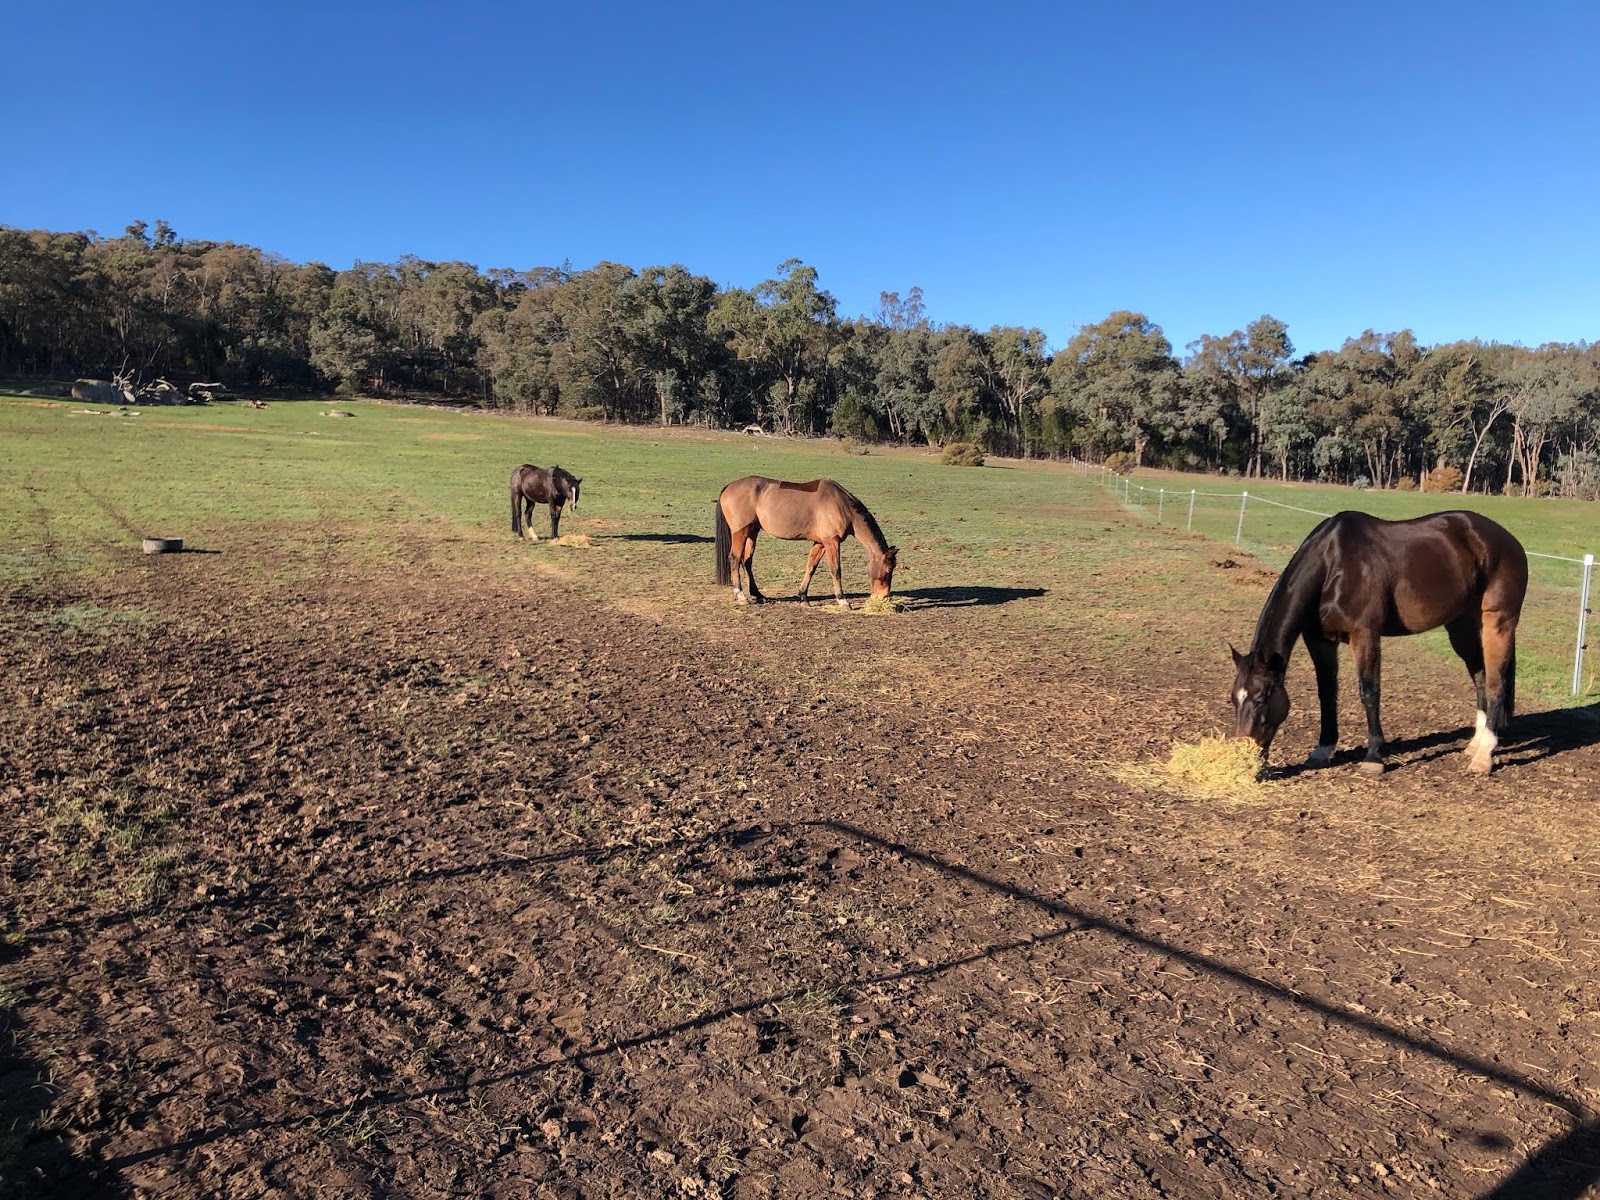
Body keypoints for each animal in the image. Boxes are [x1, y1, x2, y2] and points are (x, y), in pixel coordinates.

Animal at [714, 477, 898, 608]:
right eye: (888, 570)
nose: (883, 597)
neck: (842, 504)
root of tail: (728, 486)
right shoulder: (832, 542)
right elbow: (836, 569)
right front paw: (842, 600)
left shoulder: (820, 543)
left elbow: (811, 567)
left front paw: (803, 597)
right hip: (740, 532)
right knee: (735, 559)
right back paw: (741, 595)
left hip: (753, 531)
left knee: (747, 561)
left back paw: (758, 595)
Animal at [1231, 509, 1527, 775]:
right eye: (1234, 699)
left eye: (1262, 697)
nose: (1243, 752)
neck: (1333, 565)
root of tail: (1506, 538)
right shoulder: (1319, 640)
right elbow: (1326, 693)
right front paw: (1323, 749)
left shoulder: (1364, 635)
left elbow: (1369, 692)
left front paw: (1373, 757)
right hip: (1461, 623)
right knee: (1479, 675)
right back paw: (1476, 742)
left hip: (1498, 622)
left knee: (1496, 683)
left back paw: (1484, 755)